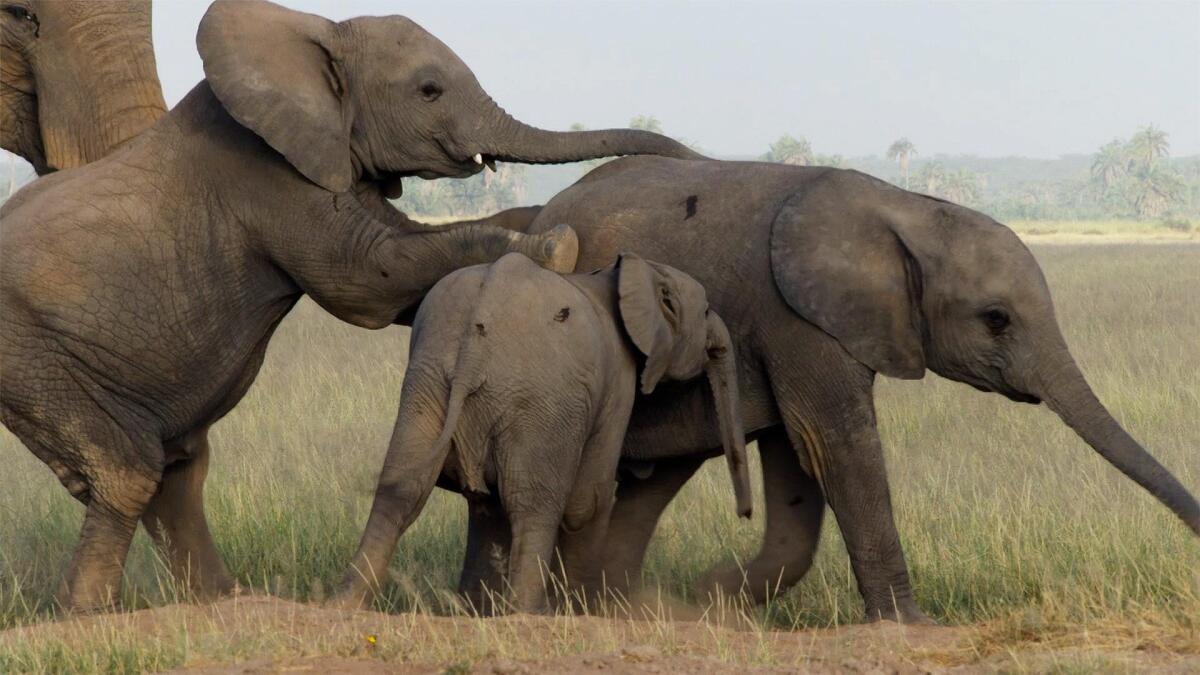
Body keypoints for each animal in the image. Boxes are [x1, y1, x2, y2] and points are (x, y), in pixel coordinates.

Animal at [337, 252, 752, 613]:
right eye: (705, 311)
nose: (745, 514)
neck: (623, 275)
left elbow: (487, 505)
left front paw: (478, 609)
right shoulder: (619, 382)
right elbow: (589, 500)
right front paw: (579, 610)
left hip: (428, 379)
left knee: (401, 488)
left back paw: (348, 603)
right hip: (541, 401)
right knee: (534, 505)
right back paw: (530, 612)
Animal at [456, 157, 1200, 623]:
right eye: (996, 319)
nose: (1194, 538)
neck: (906, 208)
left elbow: (799, 461)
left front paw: (711, 598)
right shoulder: (798, 319)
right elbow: (835, 443)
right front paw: (910, 625)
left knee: (651, 480)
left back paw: (617, 608)